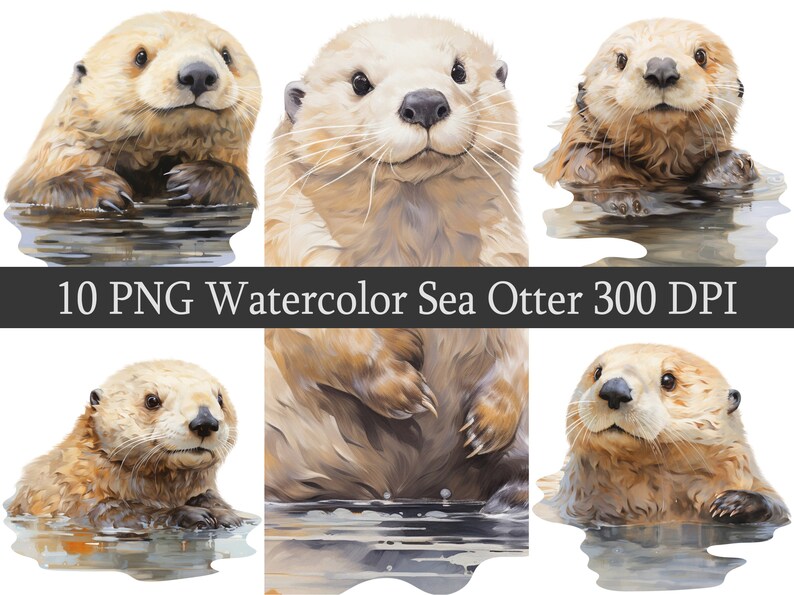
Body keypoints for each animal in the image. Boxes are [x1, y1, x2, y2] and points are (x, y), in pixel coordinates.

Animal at [5, 12, 260, 211]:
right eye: (141, 56)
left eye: (226, 55)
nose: (198, 74)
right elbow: (31, 188)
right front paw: (100, 188)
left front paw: (198, 179)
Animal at [6, 360, 243, 529]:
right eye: (152, 400)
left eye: (220, 399)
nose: (205, 422)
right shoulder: (71, 496)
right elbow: (112, 512)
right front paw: (195, 514)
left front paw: (223, 512)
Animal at [265, 17, 528, 512]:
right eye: (359, 82)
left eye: (459, 70)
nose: (424, 102)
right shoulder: (299, 249)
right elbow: (323, 336)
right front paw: (407, 389)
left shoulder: (504, 258)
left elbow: (516, 348)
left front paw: (486, 428)